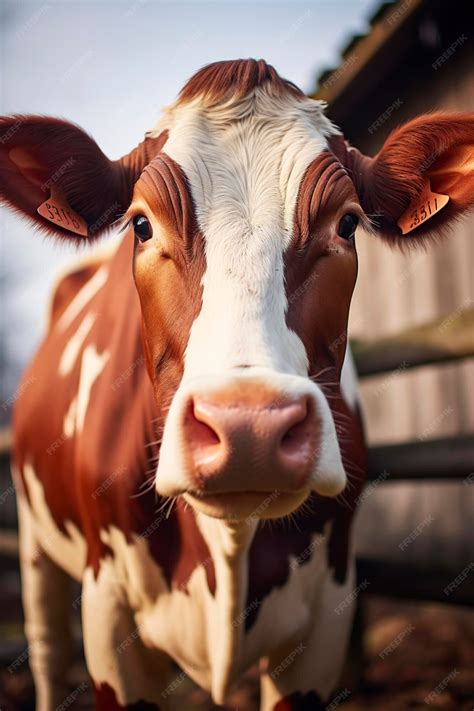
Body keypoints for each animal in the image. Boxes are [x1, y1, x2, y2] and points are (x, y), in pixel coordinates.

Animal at [0, 59, 473, 711]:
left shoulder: (324, 624)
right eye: (140, 225)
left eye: (348, 223)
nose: (249, 428)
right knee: (46, 650)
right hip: (35, 542)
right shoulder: (108, 616)